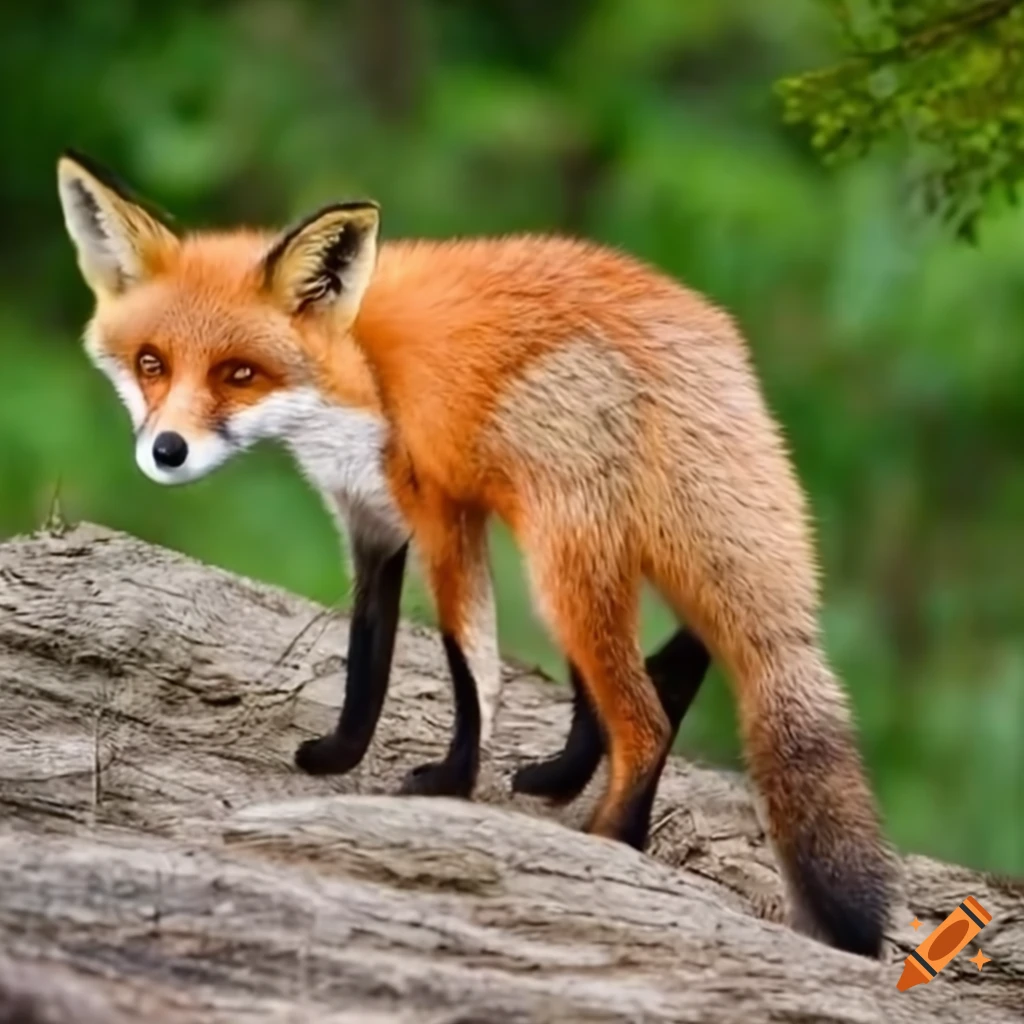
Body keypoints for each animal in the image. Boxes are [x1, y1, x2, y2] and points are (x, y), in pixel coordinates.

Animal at [56, 151, 712, 810]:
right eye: (151, 364)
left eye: (239, 374)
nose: (168, 451)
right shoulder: (368, 521)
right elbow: (367, 653)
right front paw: (341, 755)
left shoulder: (442, 524)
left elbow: (469, 670)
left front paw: (451, 782)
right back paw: (569, 773)